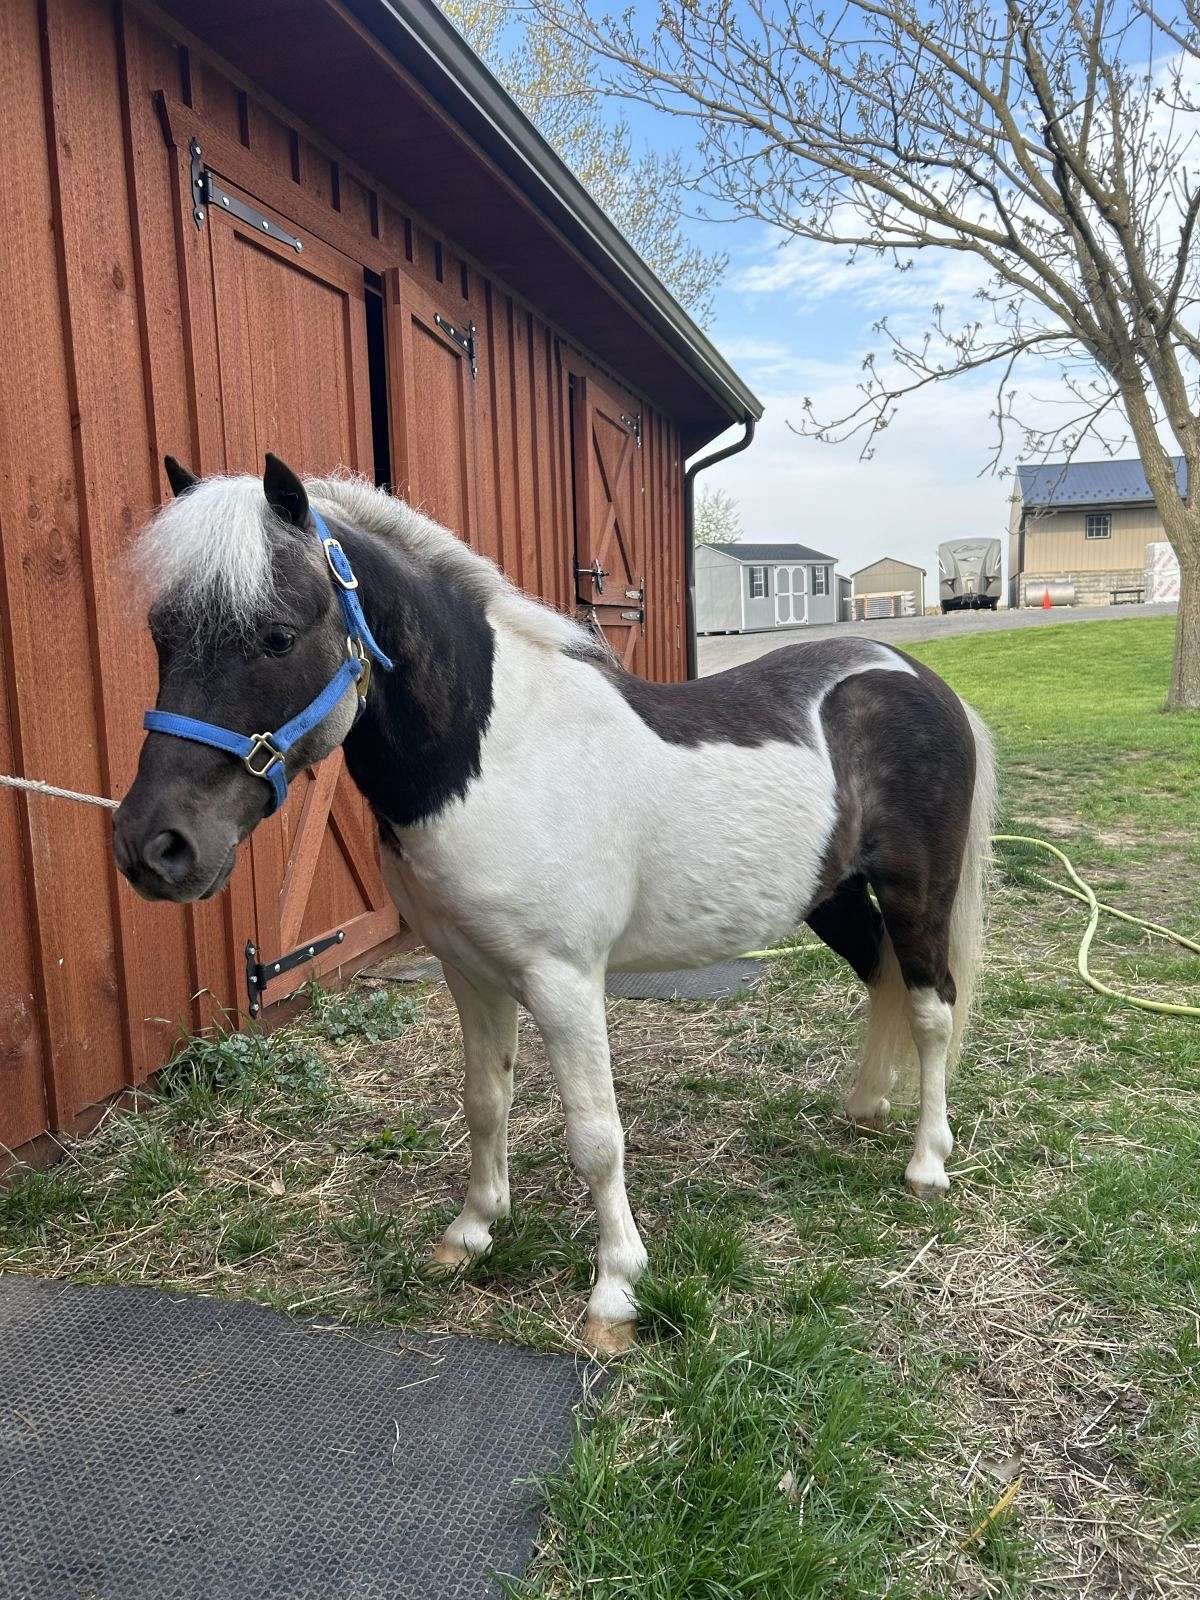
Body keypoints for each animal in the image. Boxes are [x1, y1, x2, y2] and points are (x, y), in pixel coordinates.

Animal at [114, 454, 996, 1352]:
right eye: (159, 636)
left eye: (277, 636)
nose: (156, 847)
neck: (498, 754)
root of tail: (917, 679)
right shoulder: (469, 973)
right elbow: (485, 1101)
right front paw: (471, 1232)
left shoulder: (564, 981)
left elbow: (596, 1137)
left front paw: (615, 1291)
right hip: (836, 898)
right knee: (884, 982)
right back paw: (866, 1108)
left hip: (918, 892)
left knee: (932, 1008)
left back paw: (927, 1162)